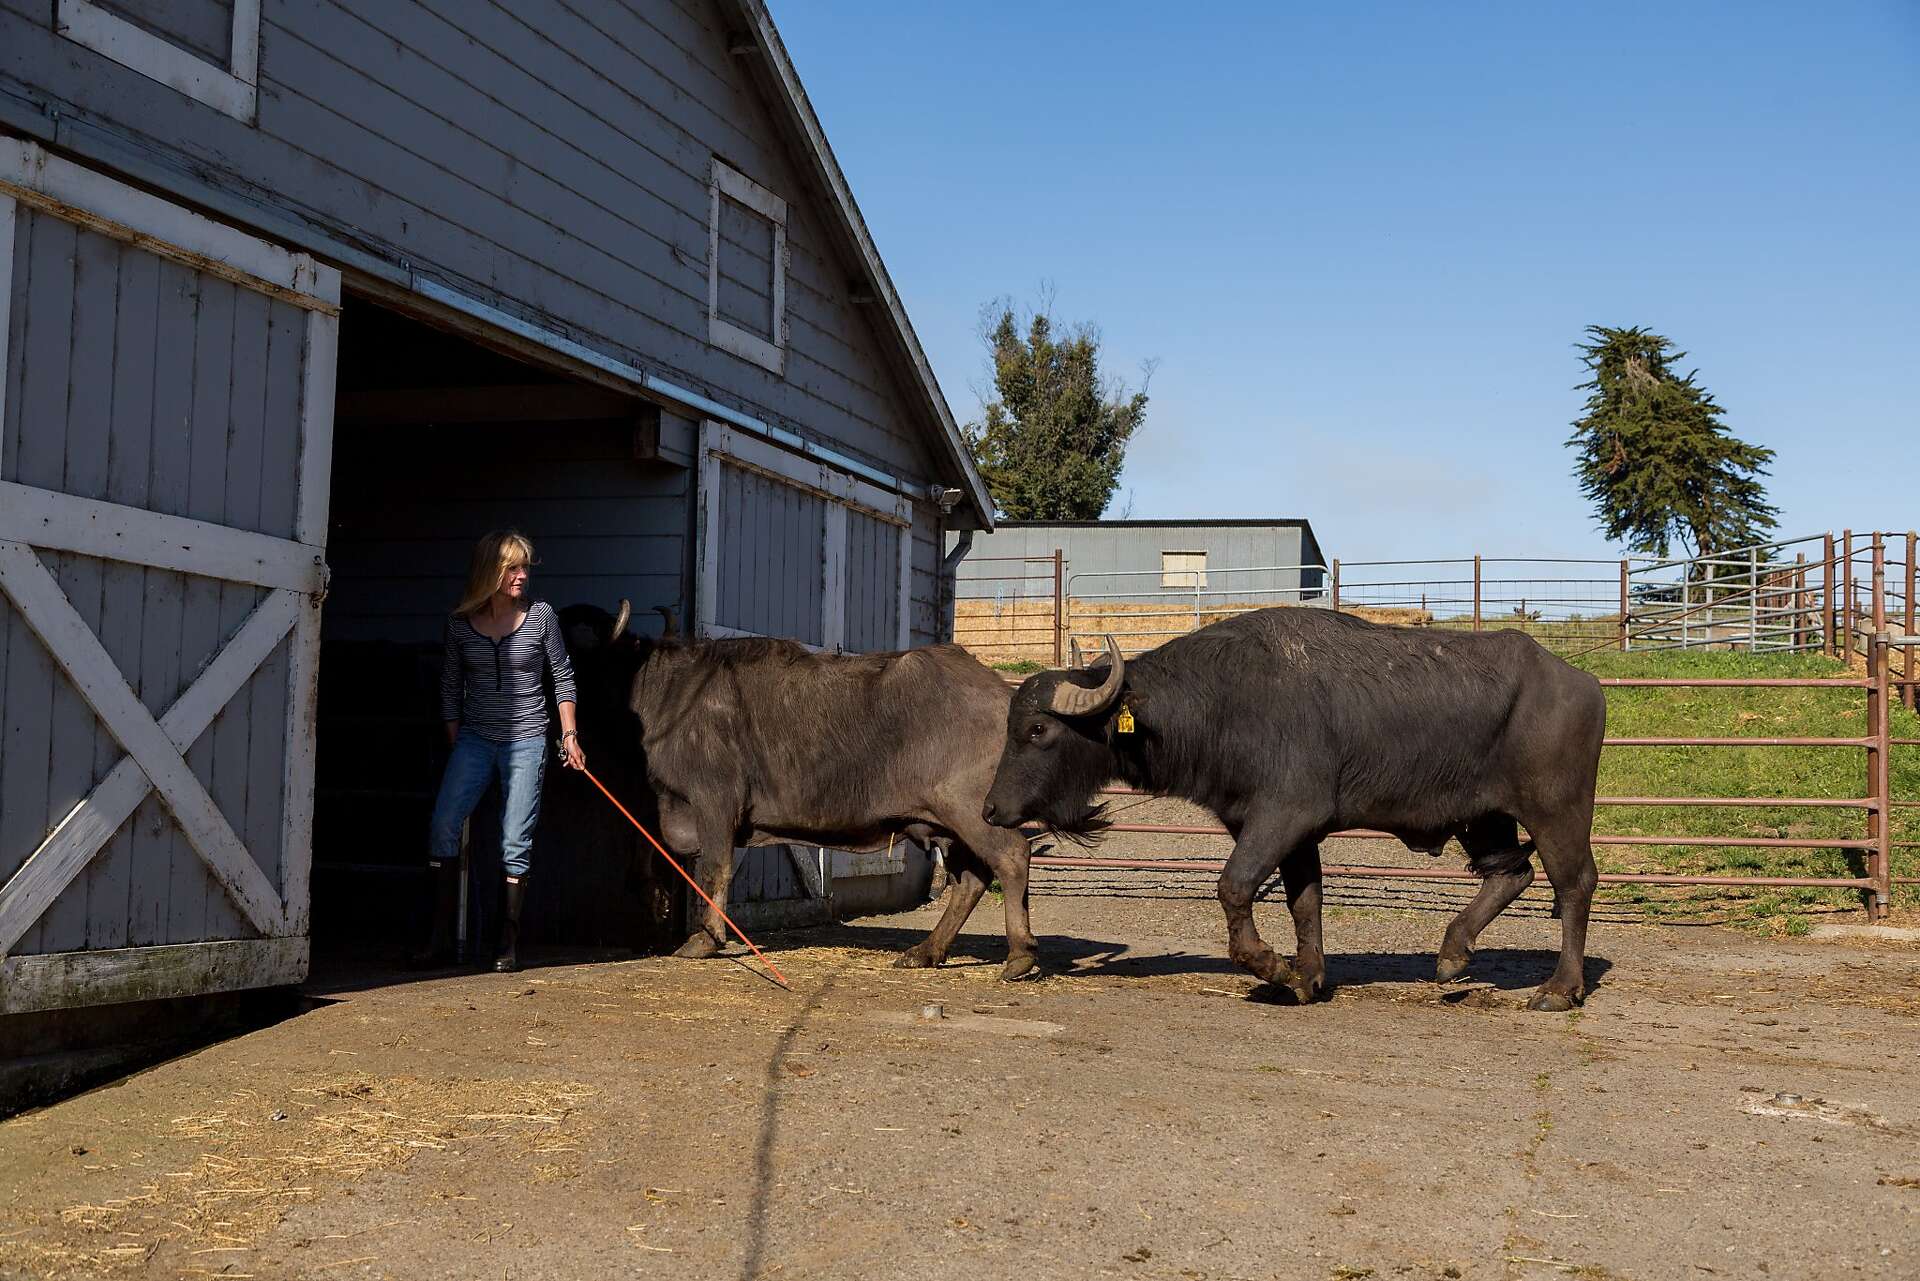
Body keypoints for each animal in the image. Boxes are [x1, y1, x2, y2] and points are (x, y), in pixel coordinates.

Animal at [564, 603, 1040, 980]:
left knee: (1012, 858)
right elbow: (644, 847)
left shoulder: (714, 802)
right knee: (970, 881)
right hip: (946, 826)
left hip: (972, 810)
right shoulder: (670, 803)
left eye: (576, 653)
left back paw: (1019, 955)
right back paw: (926, 951)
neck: (666, 695)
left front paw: (705, 938)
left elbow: (713, 869)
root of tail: (1003, 697)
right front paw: (658, 901)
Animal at [983, 607, 1606, 1010]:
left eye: (1037, 730)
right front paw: (1307, 978)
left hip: (1556, 811)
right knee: (1511, 874)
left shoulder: (1284, 814)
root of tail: (1582, 681)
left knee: (1574, 883)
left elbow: (1233, 886)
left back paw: (1560, 989)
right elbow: (1305, 900)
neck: (1223, 700)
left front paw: (1271, 965)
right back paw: (1452, 956)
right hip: (1483, 818)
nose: (990, 809)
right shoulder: (1293, 831)